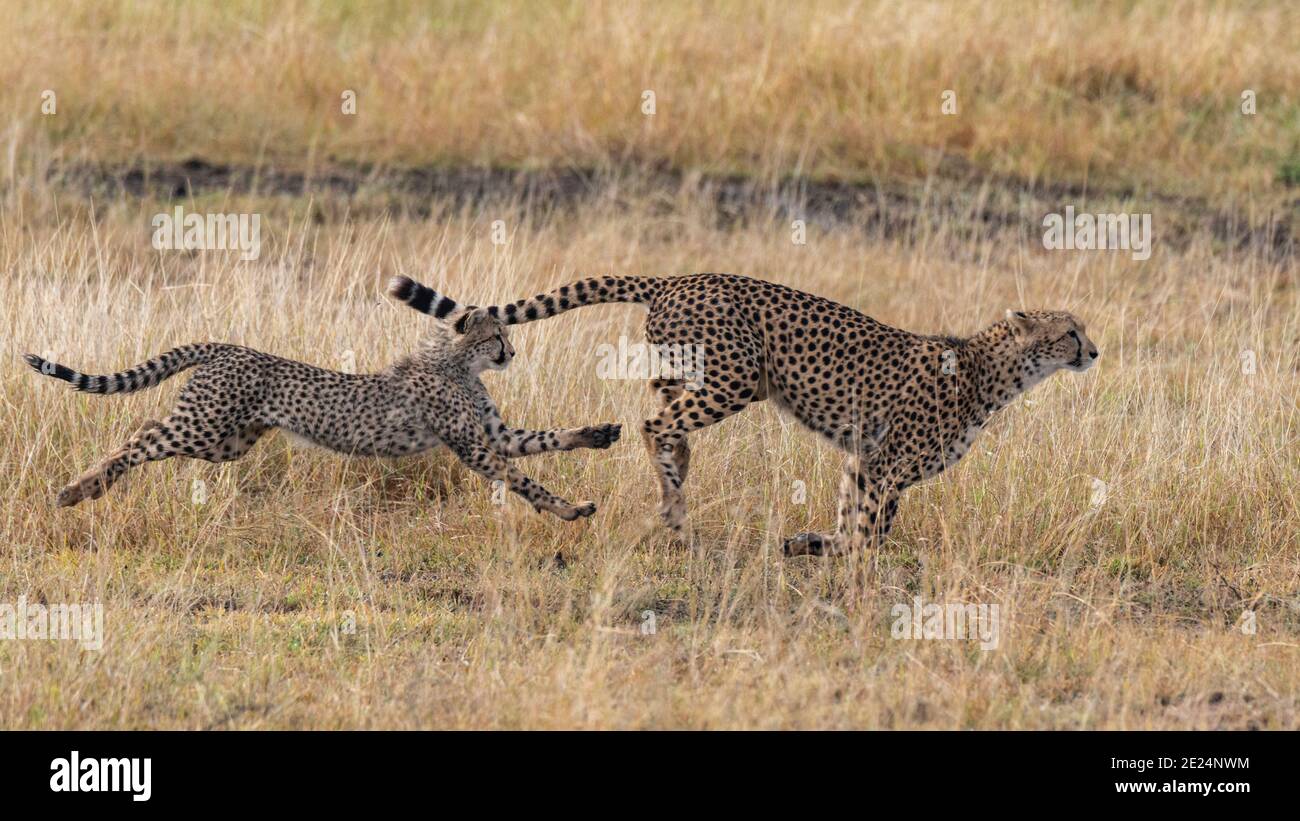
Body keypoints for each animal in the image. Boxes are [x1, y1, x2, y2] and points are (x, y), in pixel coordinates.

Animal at [22, 276, 621, 518]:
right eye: (497, 335)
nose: (511, 353)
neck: (456, 365)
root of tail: (225, 346)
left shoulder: (494, 432)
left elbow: (543, 439)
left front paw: (598, 433)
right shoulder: (474, 445)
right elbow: (522, 478)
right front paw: (569, 509)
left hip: (227, 443)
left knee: (147, 430)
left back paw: (90, 487)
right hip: (206, 426)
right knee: (142, 437)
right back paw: (78, 489)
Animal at [393, 272, 1099, 555]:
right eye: (1069, 331)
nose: (1094, 351)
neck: (993, 371)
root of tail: (677, 278)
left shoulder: (866, 459)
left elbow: (855, 517)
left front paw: (815, 545)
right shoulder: (887, 463)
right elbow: (870, 530)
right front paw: (849, 564)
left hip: (709, 373)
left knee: (662, 408)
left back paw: (677, 485)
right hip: (734, 377)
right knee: (655, 423)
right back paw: (675, 509)